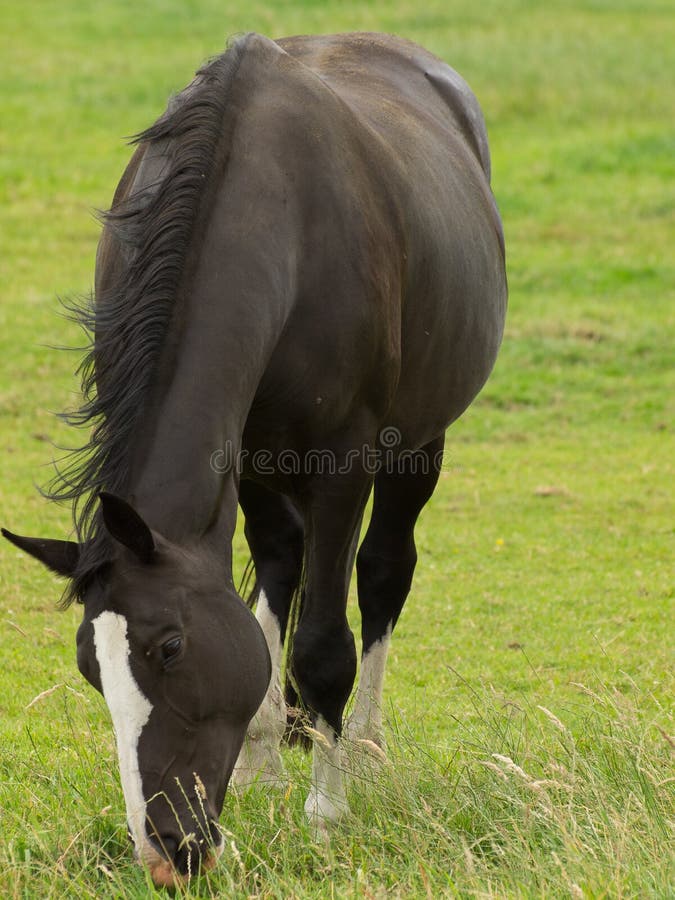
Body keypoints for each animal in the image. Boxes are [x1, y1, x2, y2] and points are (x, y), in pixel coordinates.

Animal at [3, 32, 506, 887]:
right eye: (88, 669)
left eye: (169, 647)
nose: (167, 852)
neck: (273, 214)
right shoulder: (241, 461)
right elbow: (272, 599)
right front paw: (265, 766)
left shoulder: (344, 463)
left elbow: (324, 645)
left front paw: (326, 813)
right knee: (281, 560)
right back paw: (272, 753)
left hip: (418, 444)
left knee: (382, 572)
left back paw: (360, 744)